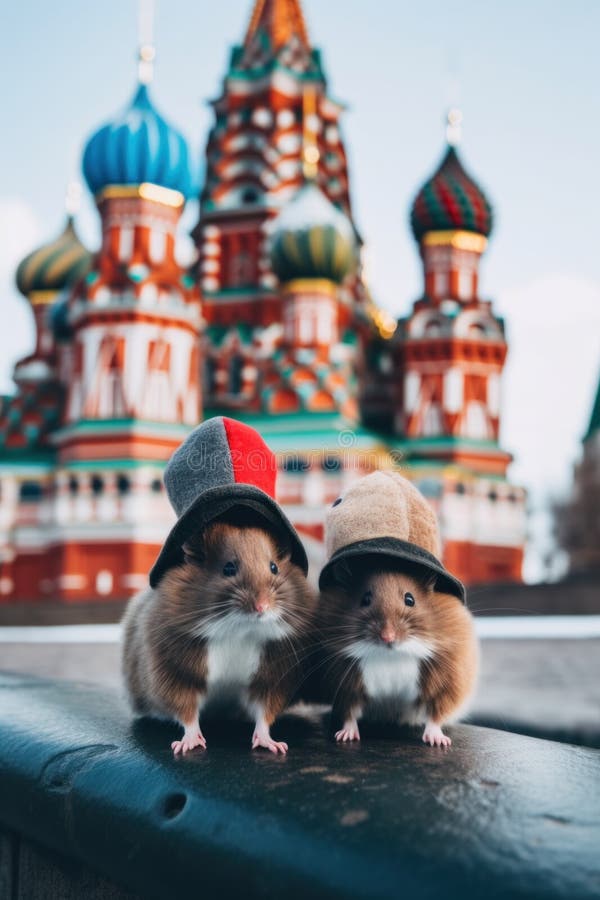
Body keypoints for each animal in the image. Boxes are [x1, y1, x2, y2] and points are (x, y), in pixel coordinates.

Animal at [122, 513, 316, 755]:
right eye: (229, 568)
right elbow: (187, 713)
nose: (262, 607)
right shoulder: (174, 675)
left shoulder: (271, 681)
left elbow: (264, 714)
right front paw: (187, 745)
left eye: (274, 568)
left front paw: (275, 746)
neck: (238, 631)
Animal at [315, 559, 479, 747]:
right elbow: (349, 713)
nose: (388, 637)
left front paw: (439, 742)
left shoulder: (444, 685)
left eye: (410, 599)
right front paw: (344, 737)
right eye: (365, 600)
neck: (390, 656)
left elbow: (435, 714)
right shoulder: (347, 688)